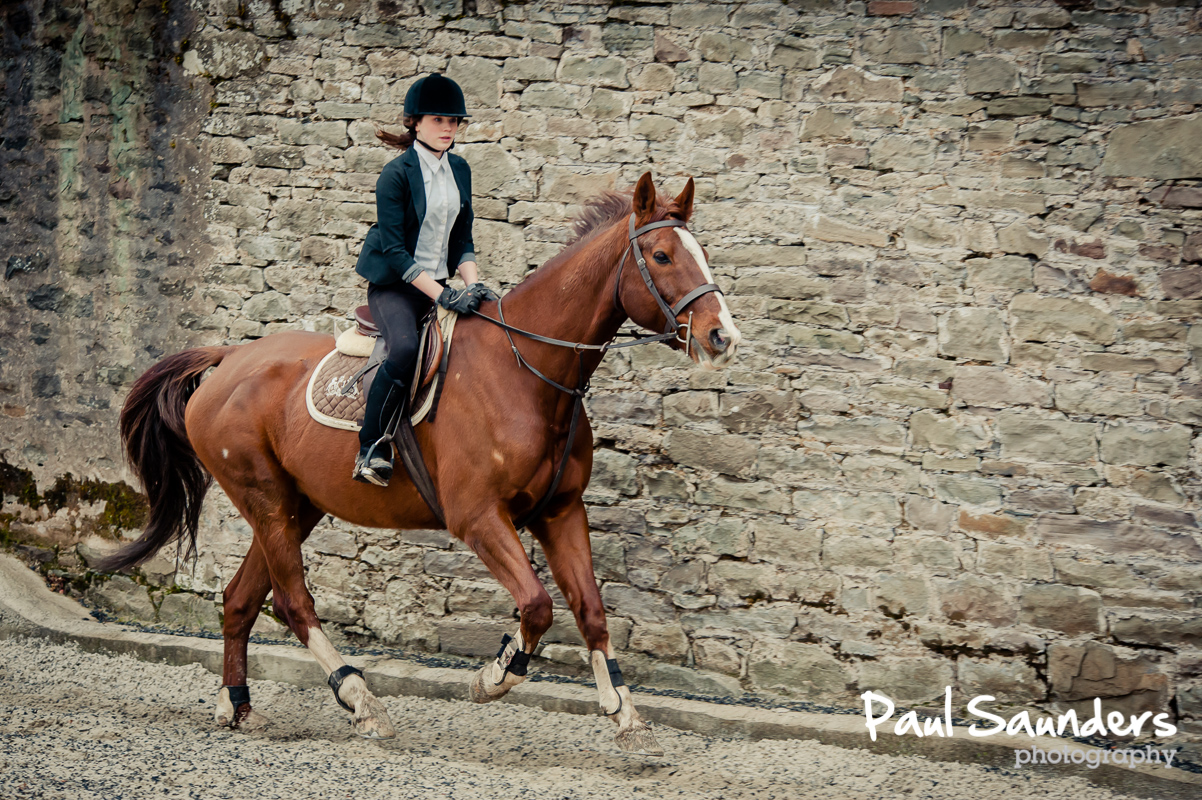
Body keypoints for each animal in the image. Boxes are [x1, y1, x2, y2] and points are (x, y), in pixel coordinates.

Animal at [99, 172, 742, 756]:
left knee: (242, 598)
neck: (527, 372)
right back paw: (361, 701)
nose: (721, 337)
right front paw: (495, 675)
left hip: (292, 506)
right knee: (293, 602)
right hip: (264, 499)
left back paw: (237, 706)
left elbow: (591, 610)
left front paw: (624, 713)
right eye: (661, 255)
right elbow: (536, 605)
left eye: (703, 254)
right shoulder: (477, 517)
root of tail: (229, 357)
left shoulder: (561, 512)